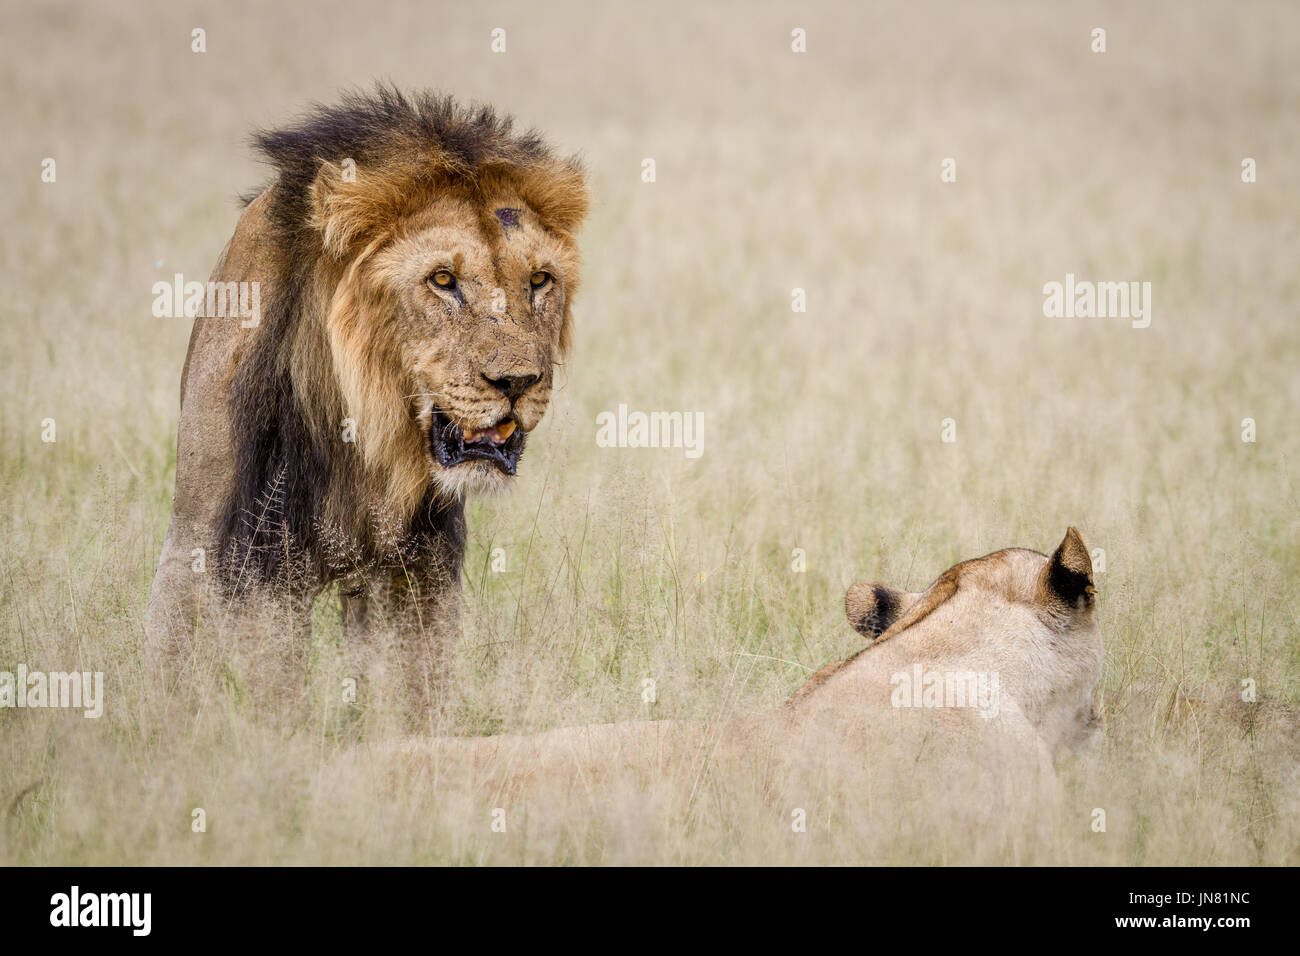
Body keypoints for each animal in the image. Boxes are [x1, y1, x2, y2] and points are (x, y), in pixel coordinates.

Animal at [146, 88, 589, 703]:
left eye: (539, 280)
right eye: (443, 280)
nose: (517, 383)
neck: (373, 442)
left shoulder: (417, 573)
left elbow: (412, 698)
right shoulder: (266, 564)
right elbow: (274, 697)